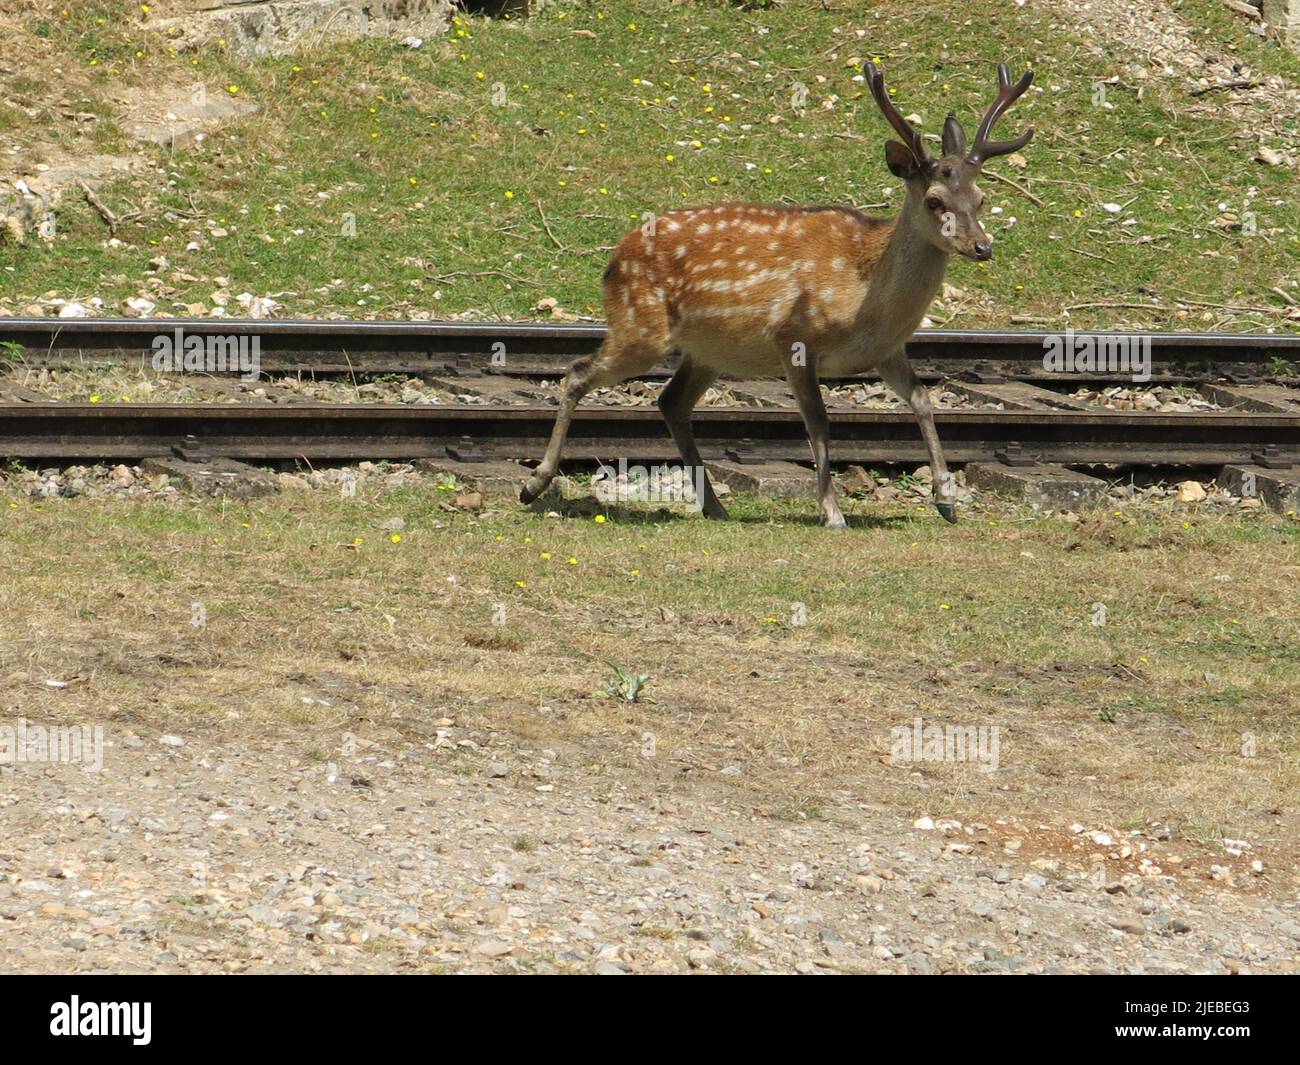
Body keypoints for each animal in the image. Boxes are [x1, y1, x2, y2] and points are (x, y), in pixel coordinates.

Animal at [520, 62, 1034, 527]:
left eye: (981, 198)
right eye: (934, 200)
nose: (982, 247)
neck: (865, 296)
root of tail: (612, 259)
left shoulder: (888, 351)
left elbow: (924, 399)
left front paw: (946, 500)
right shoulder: (795, 337)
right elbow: (819, 421)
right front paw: (832, 512)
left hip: (708, 351)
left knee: (671, 402)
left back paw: (716, 507)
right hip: (640, 326)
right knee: (578, 372)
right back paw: (533, 484)